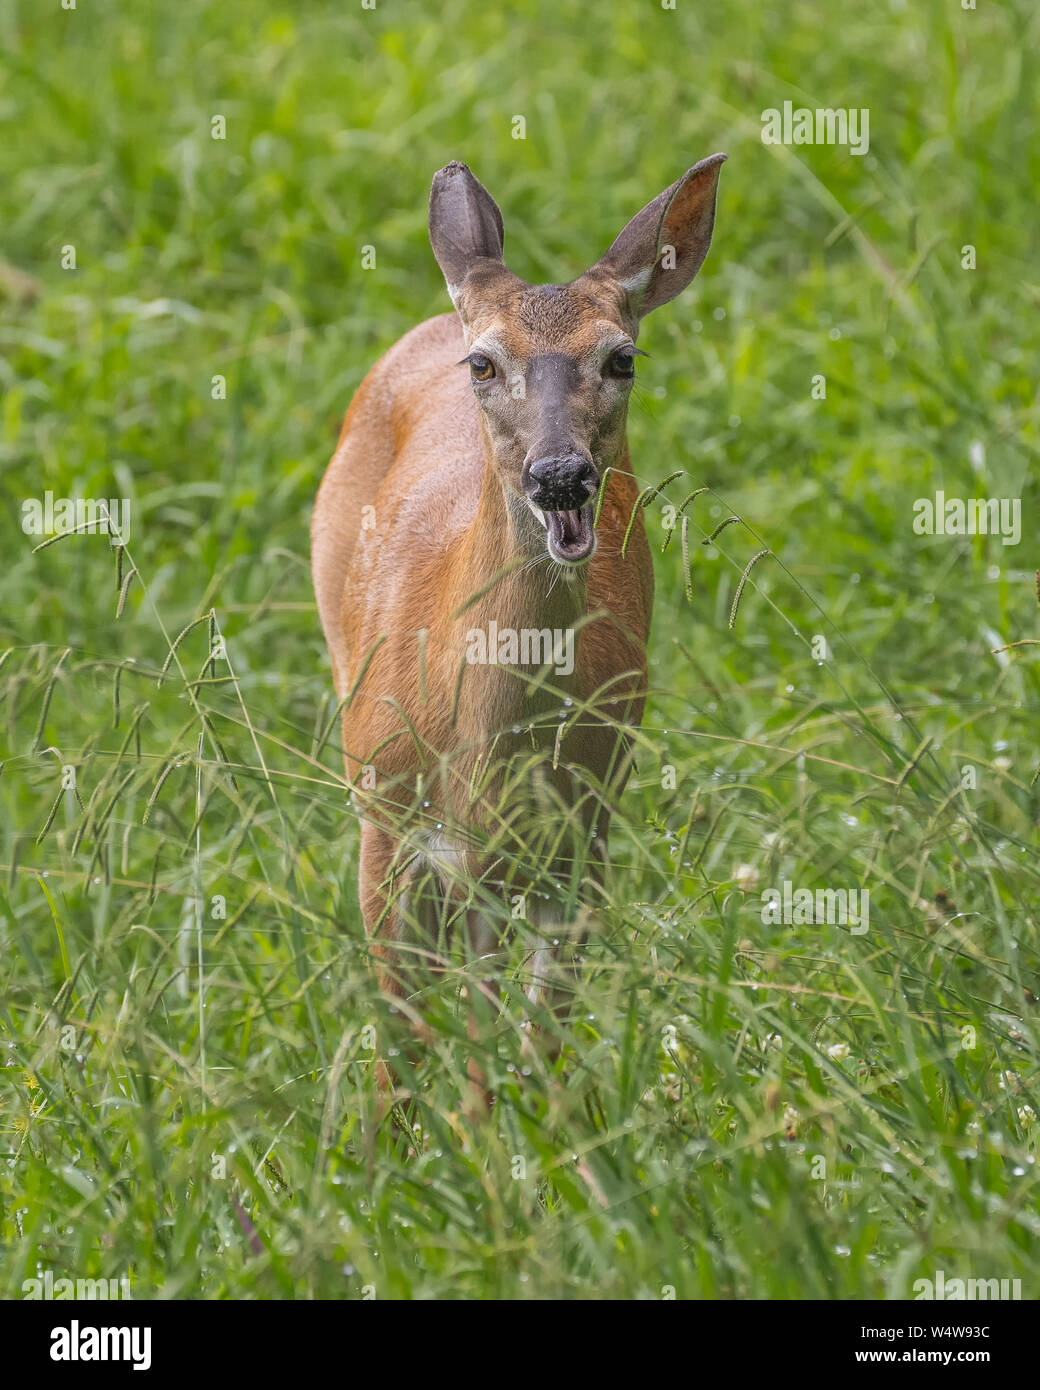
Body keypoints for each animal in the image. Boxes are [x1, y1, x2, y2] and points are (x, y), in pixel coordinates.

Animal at [311, 153, 726, 1103]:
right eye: (485, 363)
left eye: (622, 357)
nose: (561, 475)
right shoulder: (388, 817)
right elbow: (403, 1040)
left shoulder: (575, 847)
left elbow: (526, 1045)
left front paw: (515, 1136)